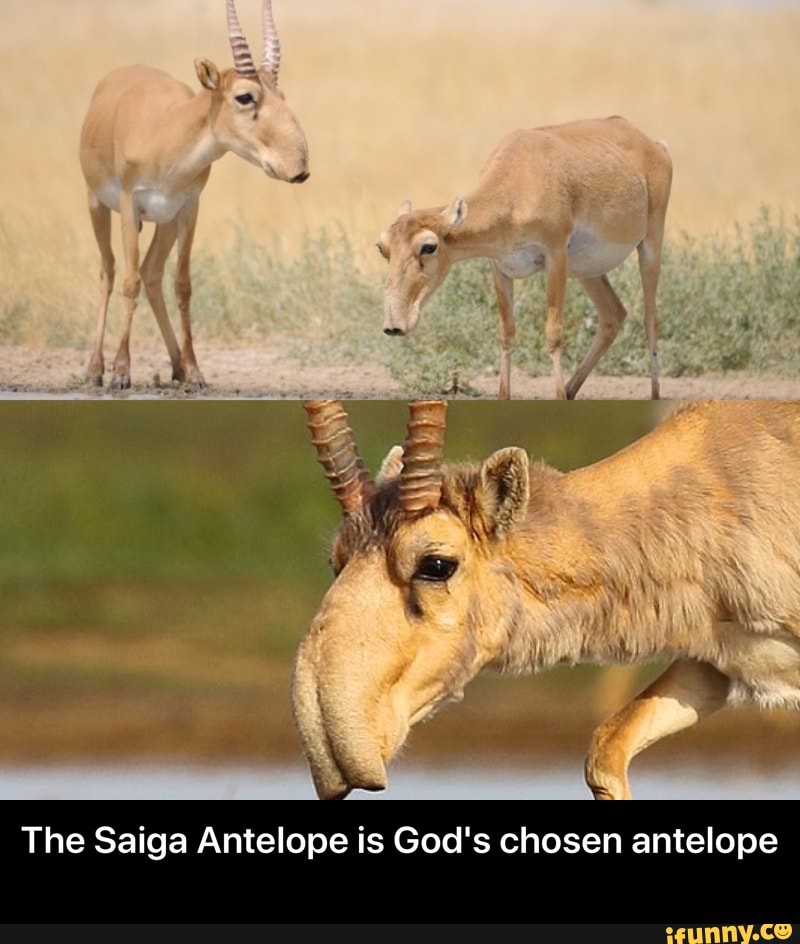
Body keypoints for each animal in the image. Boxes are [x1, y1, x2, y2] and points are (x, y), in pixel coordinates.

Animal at [79, 0, 308, 390]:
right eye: (244, 96)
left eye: (282, 96)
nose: (298, 167)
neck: (165, 132)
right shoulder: (128, 203)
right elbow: (128, 282)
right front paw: (121, 372)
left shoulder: (189, 208)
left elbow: (182, 284)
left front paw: (196, 372)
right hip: (98, 206)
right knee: (109, 272)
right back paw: (96, 369)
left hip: (165, 223)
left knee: (153, 274)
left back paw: (176, 366)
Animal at [377, 117, 673, 400]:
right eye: (382, 247)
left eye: (428, 246)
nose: (394, 325)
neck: (519, 180)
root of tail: (655, 146)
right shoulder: (500, 267)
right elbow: (506, 332)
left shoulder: (555, 255)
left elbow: (553, 333)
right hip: (587, 271)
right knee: (614, 314)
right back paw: (571, 390)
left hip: (650, 245)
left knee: (651, 320)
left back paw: (654, 394)